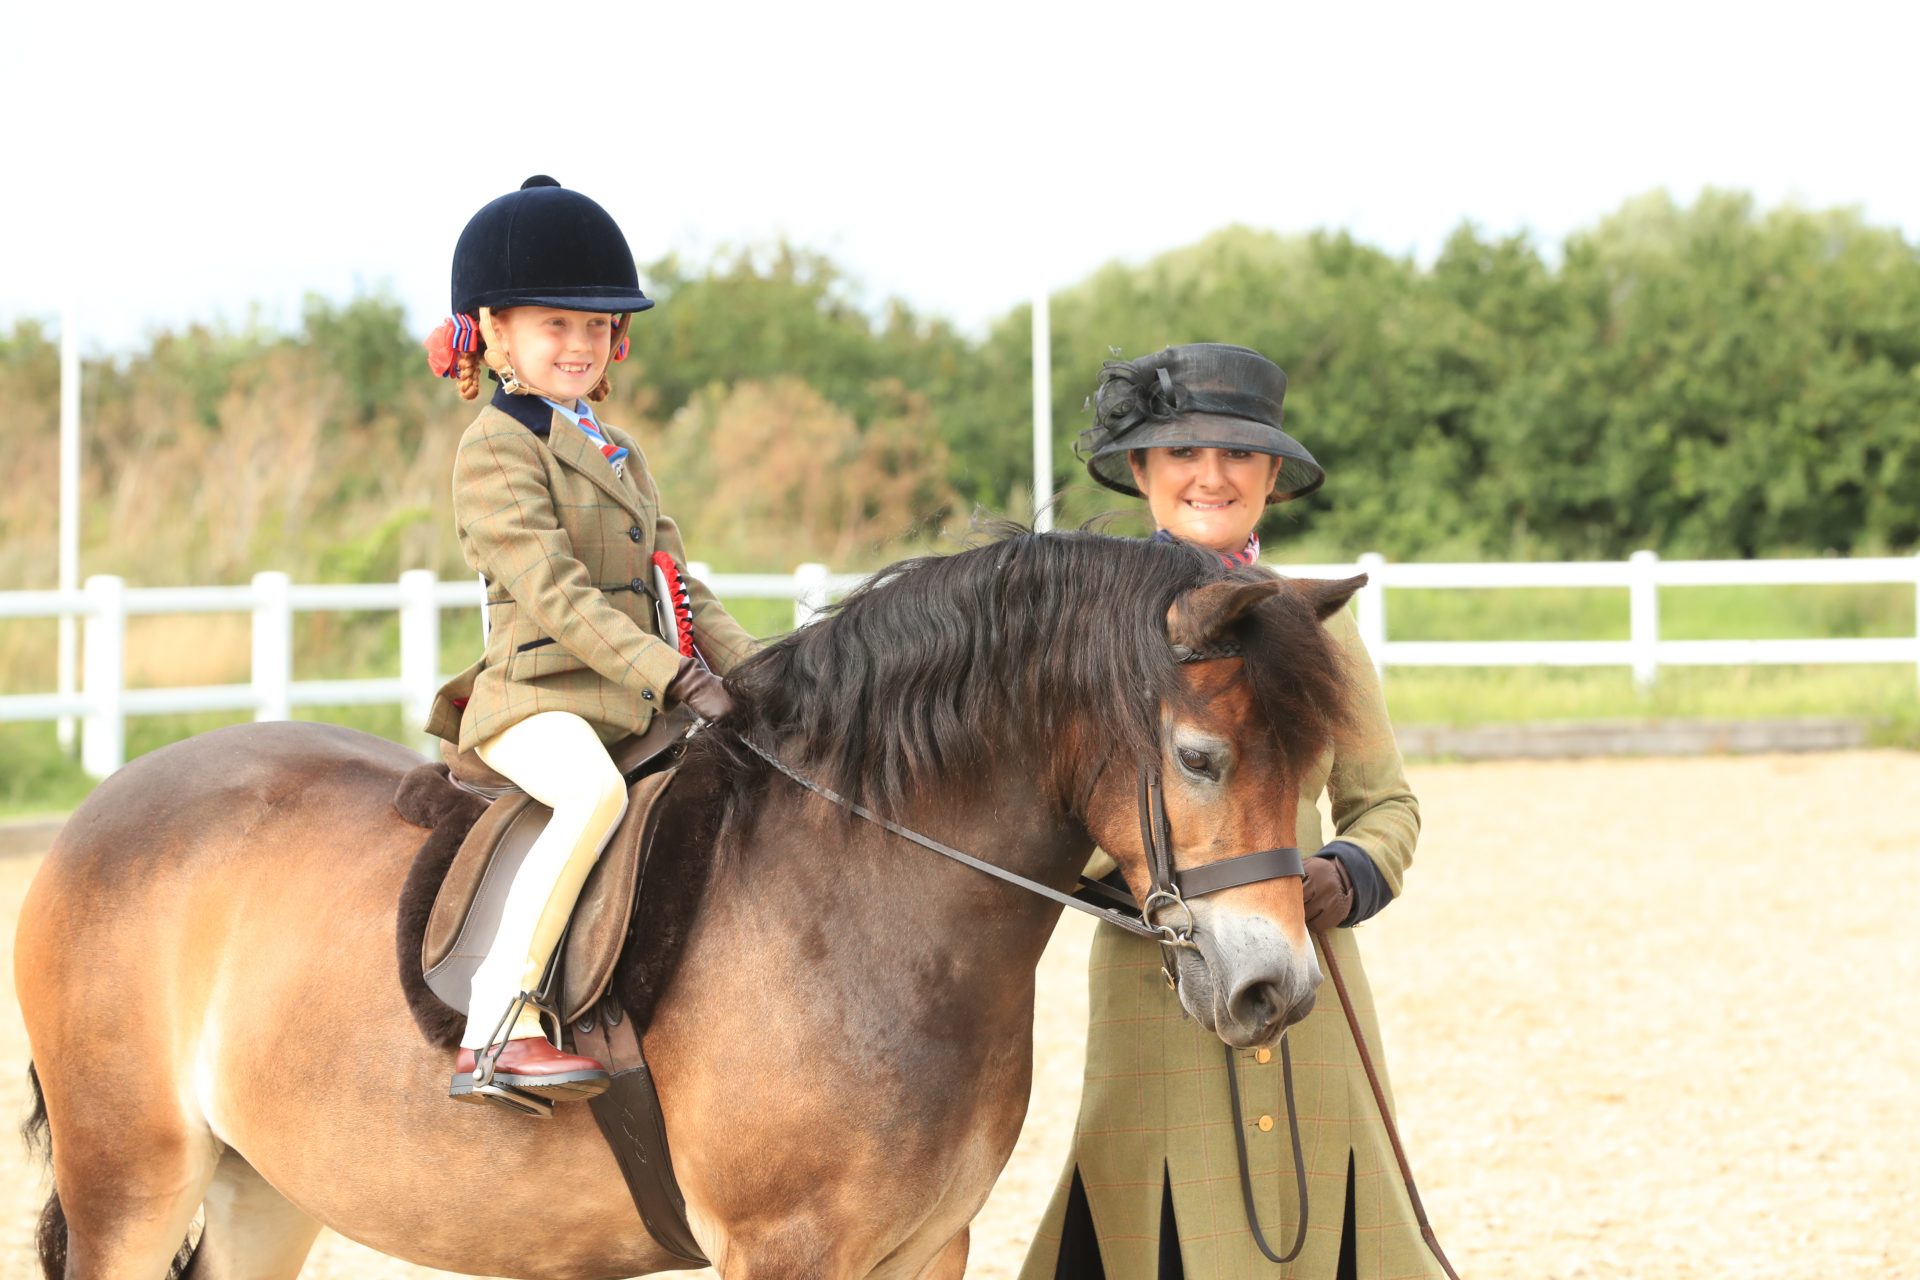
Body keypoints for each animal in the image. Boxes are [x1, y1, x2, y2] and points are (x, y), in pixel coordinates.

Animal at [16, 530, 1363, 1280]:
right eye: (1199, 758)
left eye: (1309, 766)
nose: (1275, 988)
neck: (867, 887)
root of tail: (98, 813)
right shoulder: (786, 1249)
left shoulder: (931, 1243)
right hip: (132, 1183)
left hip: (259, 1191)